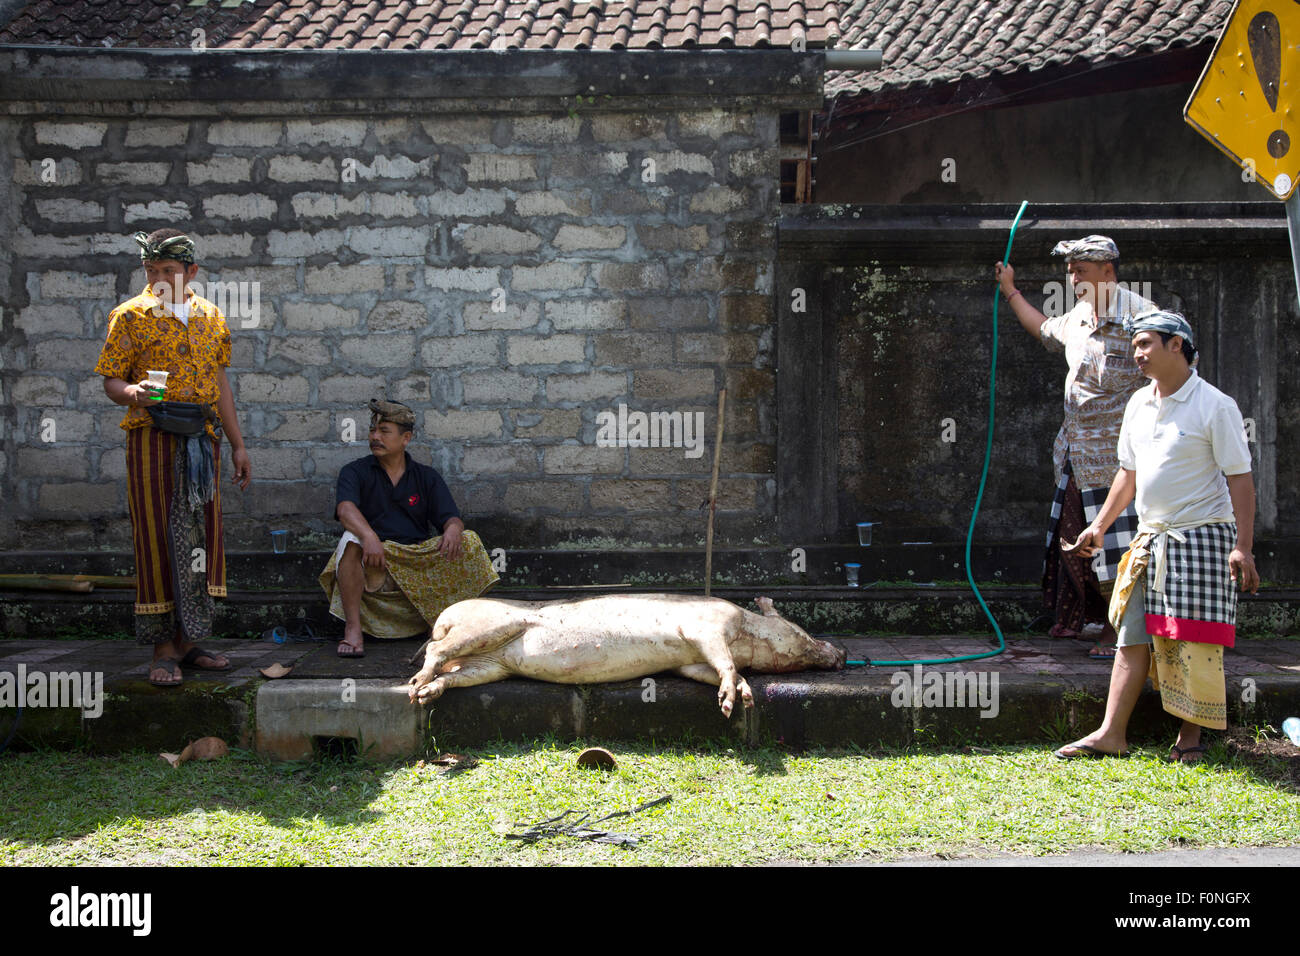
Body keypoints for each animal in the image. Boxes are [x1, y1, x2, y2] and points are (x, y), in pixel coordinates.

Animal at [407, 594, 846, 717]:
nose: (841, 653)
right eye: (804, 633)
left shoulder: (689, 662)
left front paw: (743, 695)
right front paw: (729, 705)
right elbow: (725, 662)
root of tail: (444, 616)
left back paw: (425, 695)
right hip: (487, 627)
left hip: (491, 665)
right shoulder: (707, 627)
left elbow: (723, 671)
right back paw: (413, 686)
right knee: (437, 649)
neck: (745, 631)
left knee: (454, 672)